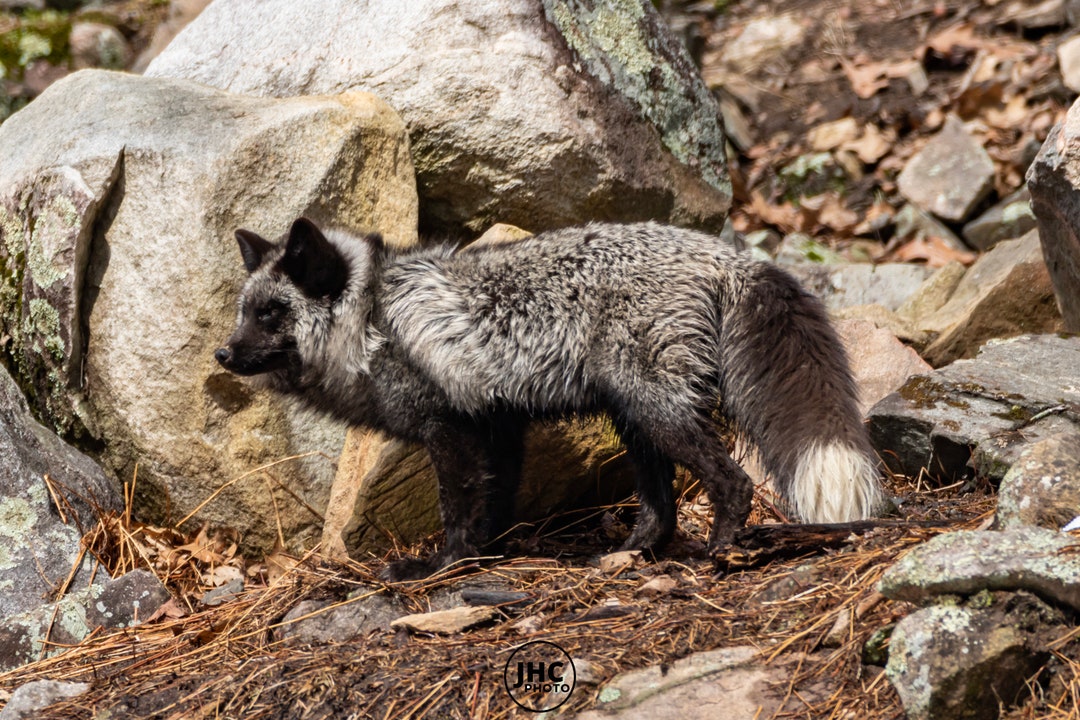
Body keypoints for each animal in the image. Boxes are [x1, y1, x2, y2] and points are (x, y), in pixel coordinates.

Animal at [215, 217, 883, 579]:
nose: (222, 355)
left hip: (655, 409)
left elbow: (458, 510)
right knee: (660, 509)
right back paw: (630, 553)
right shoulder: (497, 426)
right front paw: (483, 557)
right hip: (631, 416)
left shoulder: (450, 429)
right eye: (246, 310)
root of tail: (725, 256)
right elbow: (493, 506)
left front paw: (442, 568)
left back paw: (721, 550)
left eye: (273, 313)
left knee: (734, 481)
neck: (371, 322)